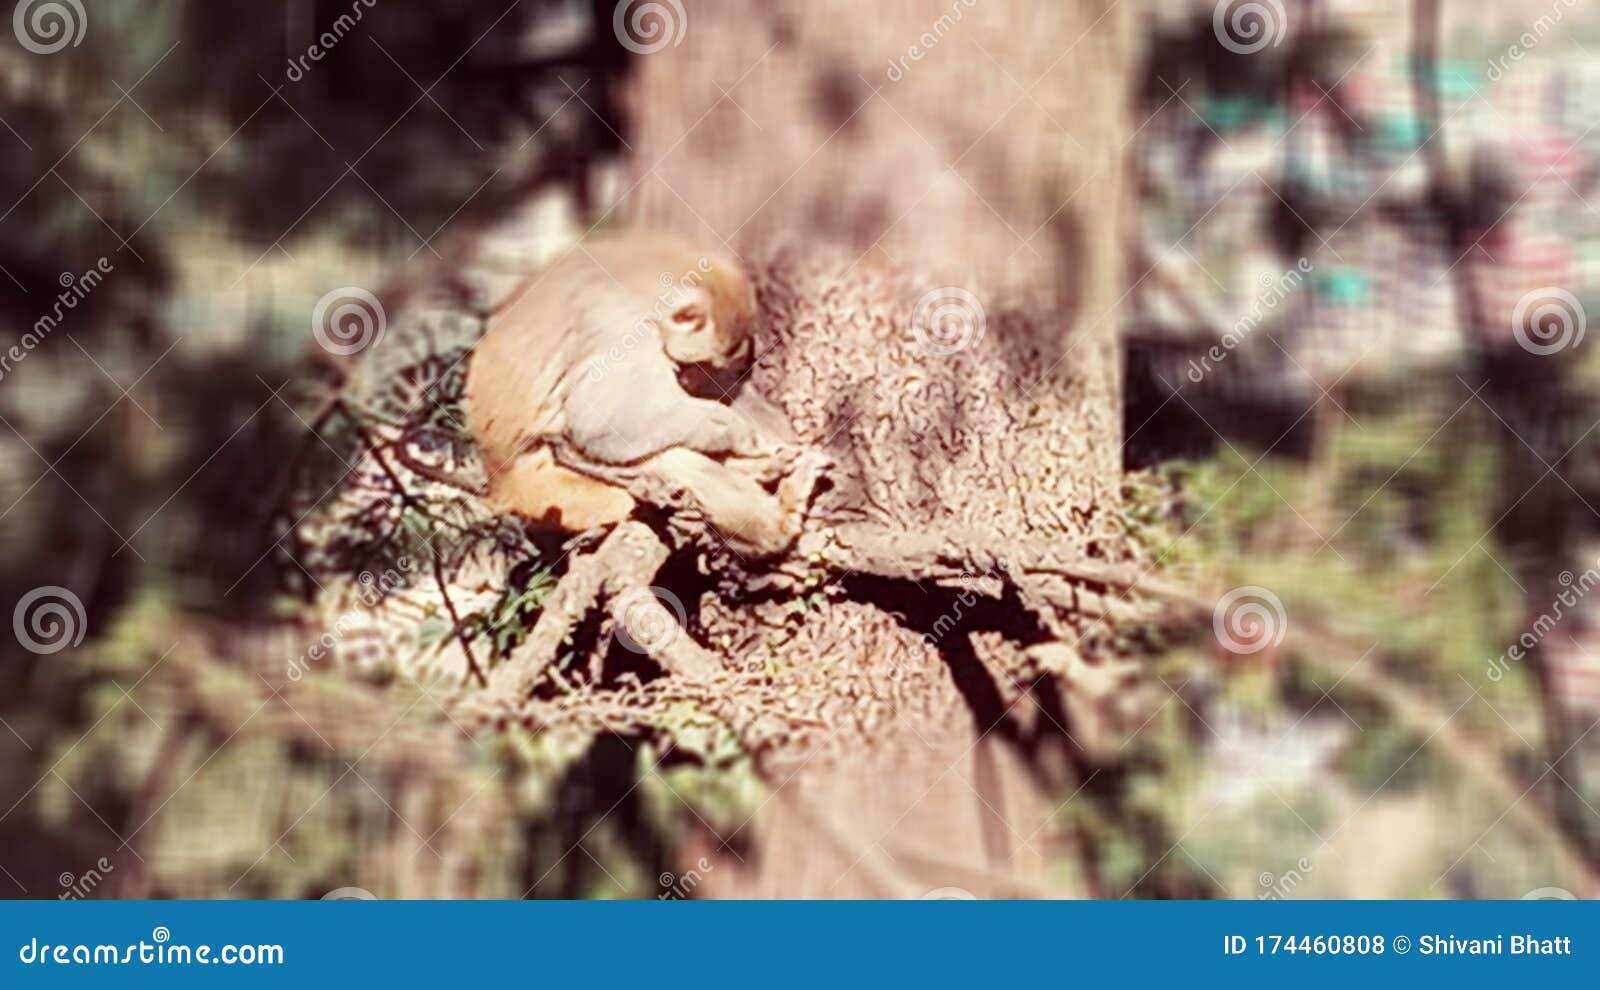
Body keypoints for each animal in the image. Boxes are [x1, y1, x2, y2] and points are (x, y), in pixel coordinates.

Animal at [465, 233, 819, 556]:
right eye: (693, 366)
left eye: (703, 369)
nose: (692, 382)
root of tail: (498, 482)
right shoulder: (623, 327)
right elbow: (603, 420)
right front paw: (737, 432)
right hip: (549, 488)